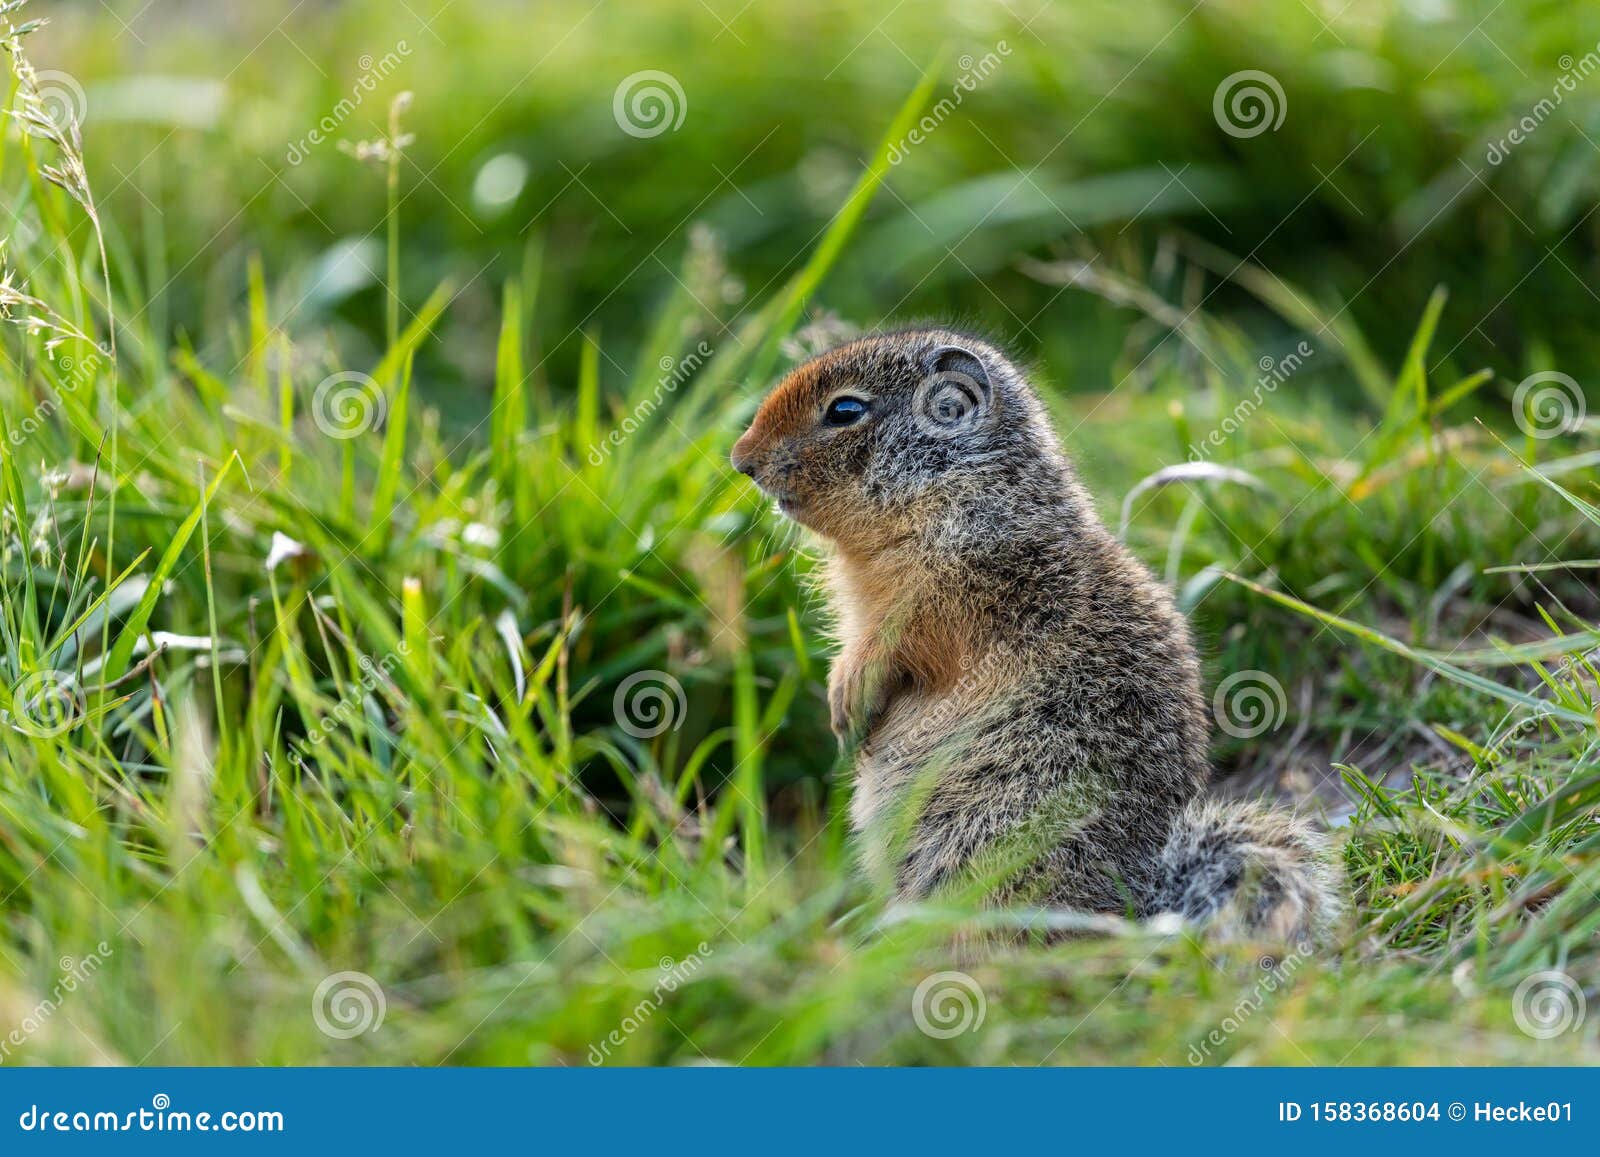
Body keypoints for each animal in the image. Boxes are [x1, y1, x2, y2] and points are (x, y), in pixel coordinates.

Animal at [731, 326, 1342, 944]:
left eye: (845, 410)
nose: (740, 460)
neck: (966, 490)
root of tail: (1130, 905)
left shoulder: (953, 591)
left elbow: (895, 647)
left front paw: (848, 699)